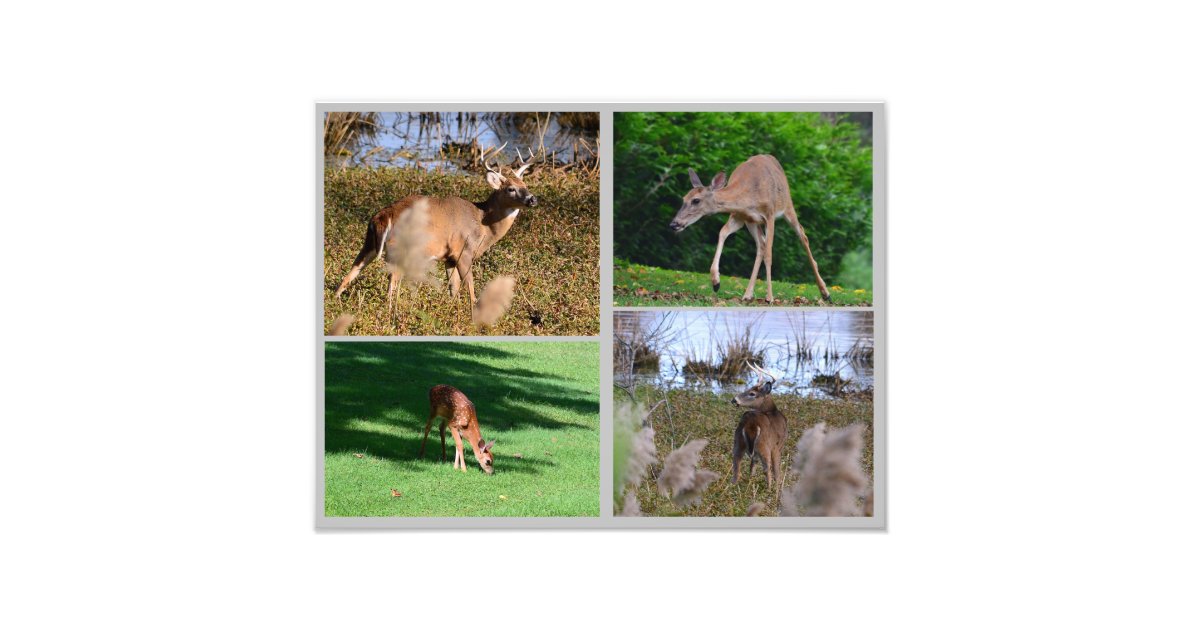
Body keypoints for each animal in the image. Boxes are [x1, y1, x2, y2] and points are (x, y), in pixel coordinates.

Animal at [332, 144, 537, 305]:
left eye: (525, 185)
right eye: (511, 189)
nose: (532, 199)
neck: (483, 225)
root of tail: (384, 215)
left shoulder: (449, 257)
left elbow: (453, 289)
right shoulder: (464, 251)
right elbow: (470, 288)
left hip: (370, 243)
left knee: (351, 272)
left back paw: (336, 302)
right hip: (399, 248)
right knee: (392, 283)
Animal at [668, 154, 831, 303]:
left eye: (696, 200)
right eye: (683, 199)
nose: (674, 224)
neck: (748, 197)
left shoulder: (769, 215)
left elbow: (769, 255)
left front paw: (770, 297)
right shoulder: (739, 217)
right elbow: (722, 232)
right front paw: (715, 281)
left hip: (787, 206)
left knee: (802, 235)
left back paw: (825, 293)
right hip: (753, 223)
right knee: (761, 245)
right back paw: (747, 294)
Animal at [730, 361, 788, 498]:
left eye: (752, 393)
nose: (734, 400)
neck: (772, 411)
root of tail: (751, 425)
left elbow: (752, 469)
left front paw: (750, 483)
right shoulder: (777, 447)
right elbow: (777, 471)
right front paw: (778, 491)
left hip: (738, 443)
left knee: (736, 466)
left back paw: (732, 488)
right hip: (764, 446)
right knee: (767, 469)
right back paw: (769, 491)